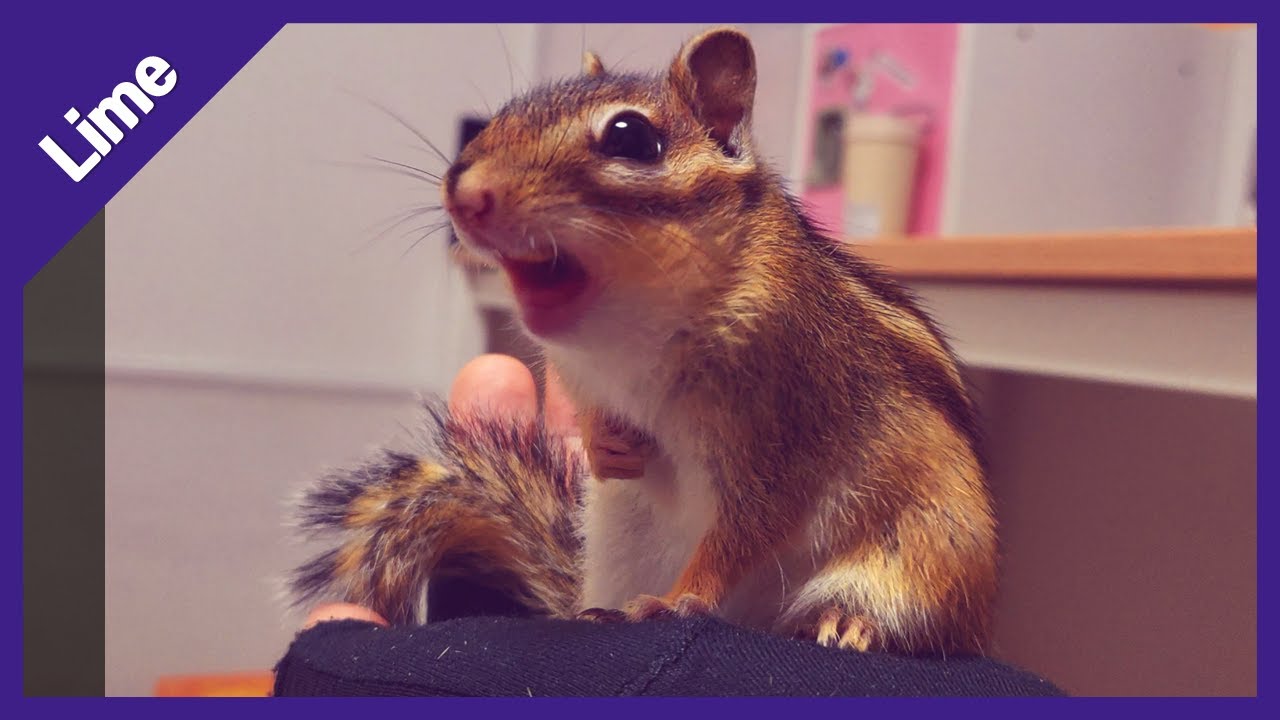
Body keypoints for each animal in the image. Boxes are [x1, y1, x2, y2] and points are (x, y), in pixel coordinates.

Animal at [290, 27, 998, 656]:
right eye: (505, 113)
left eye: (631, 136)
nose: (463, 193)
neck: (636, 336)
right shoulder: (577, 374)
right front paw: (608, 445)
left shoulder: (783, 434)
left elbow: (744, 533)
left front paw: (682, 599)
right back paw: (600, 612)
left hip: (928, 555)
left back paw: (847, 621)